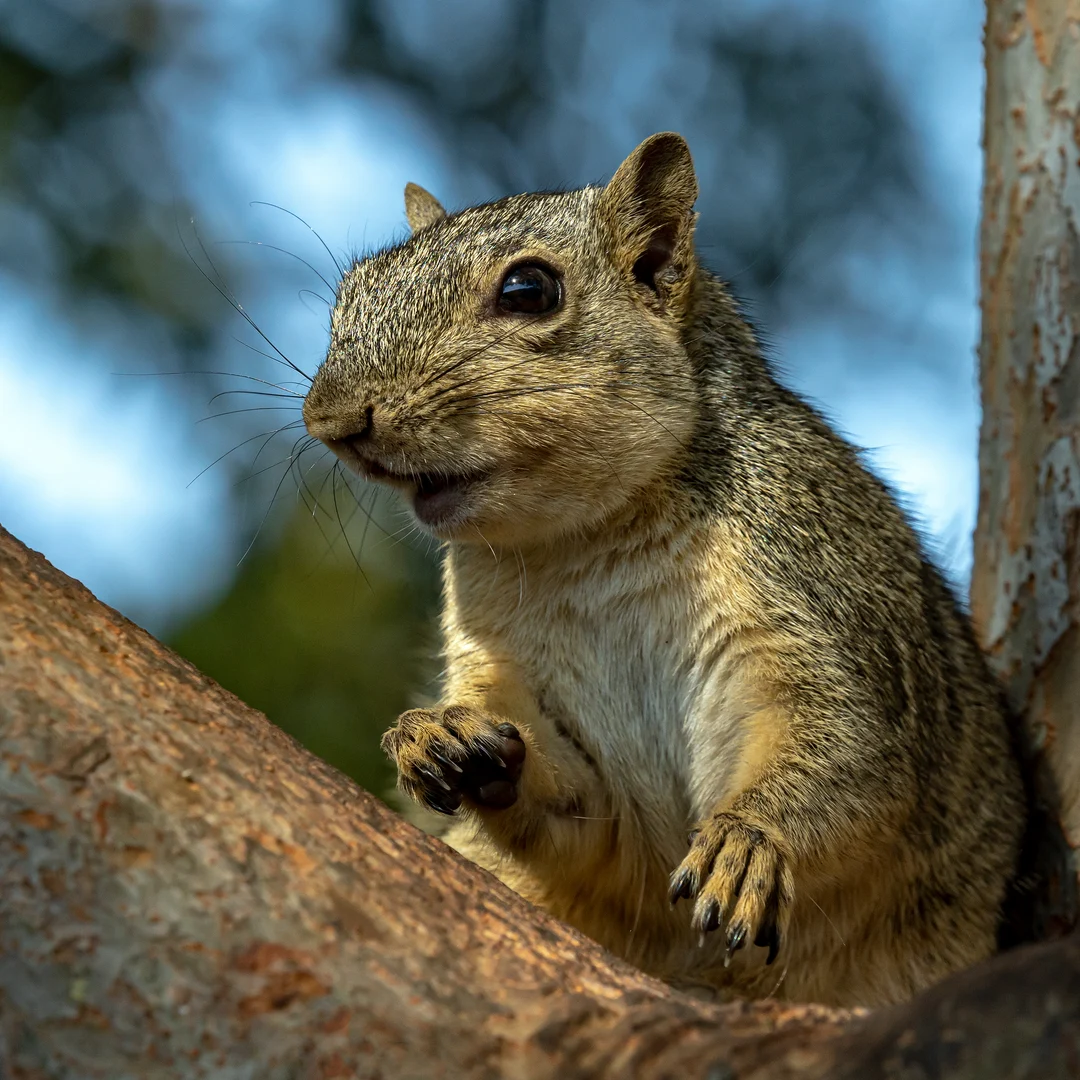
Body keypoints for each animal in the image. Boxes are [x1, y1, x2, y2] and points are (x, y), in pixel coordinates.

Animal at [301, 133, 1028, 1007]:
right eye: (349, 296)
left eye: (528, 289)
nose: (331, 420)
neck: (588, 544)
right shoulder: (507, 666)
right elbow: (586, 818)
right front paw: (437, 731)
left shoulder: (819, 600)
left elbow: (846, 751)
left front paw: (748, 840)